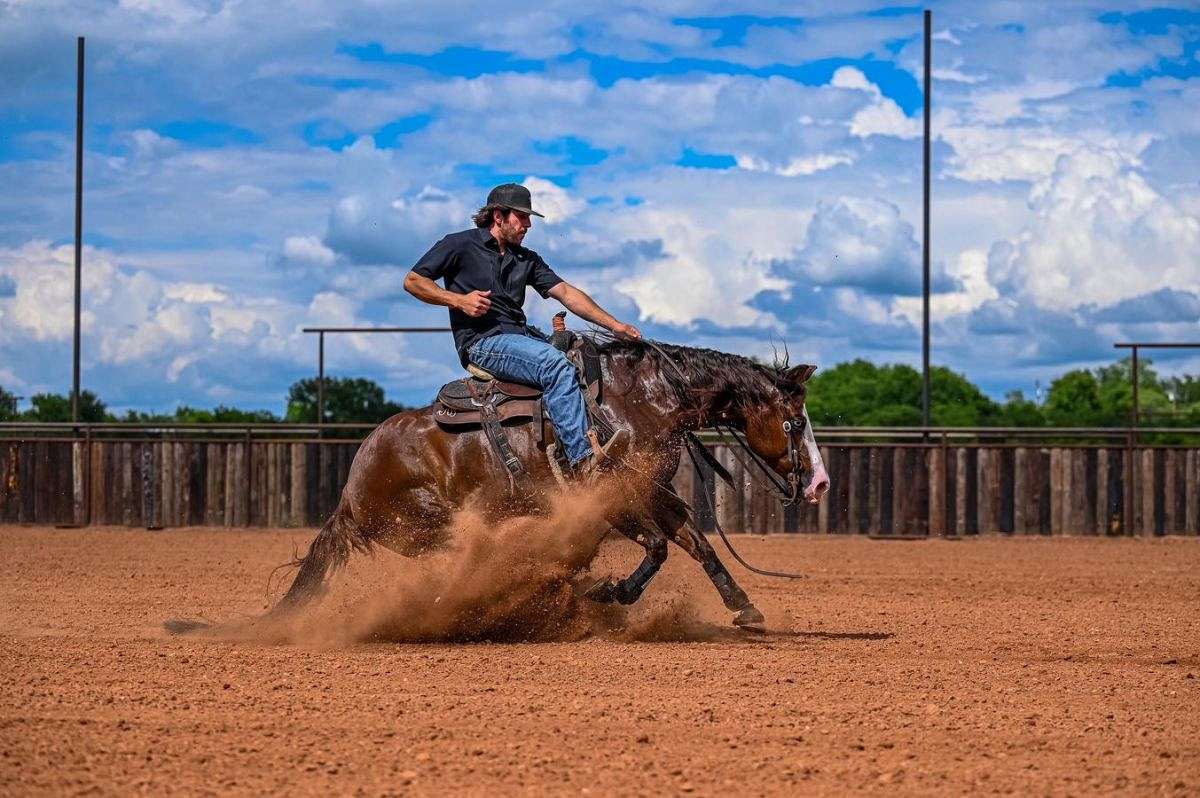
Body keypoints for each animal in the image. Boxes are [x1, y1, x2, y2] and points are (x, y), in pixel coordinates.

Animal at [277, 337, 831, 629]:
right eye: (794, 423)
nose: (820, 484)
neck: (639, 404)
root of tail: (351, 491)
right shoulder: (609, 499)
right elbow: (657, 547)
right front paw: (608, 592)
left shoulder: (651, 493)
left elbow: (698, 544)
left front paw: (744, 606)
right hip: (430, 526)